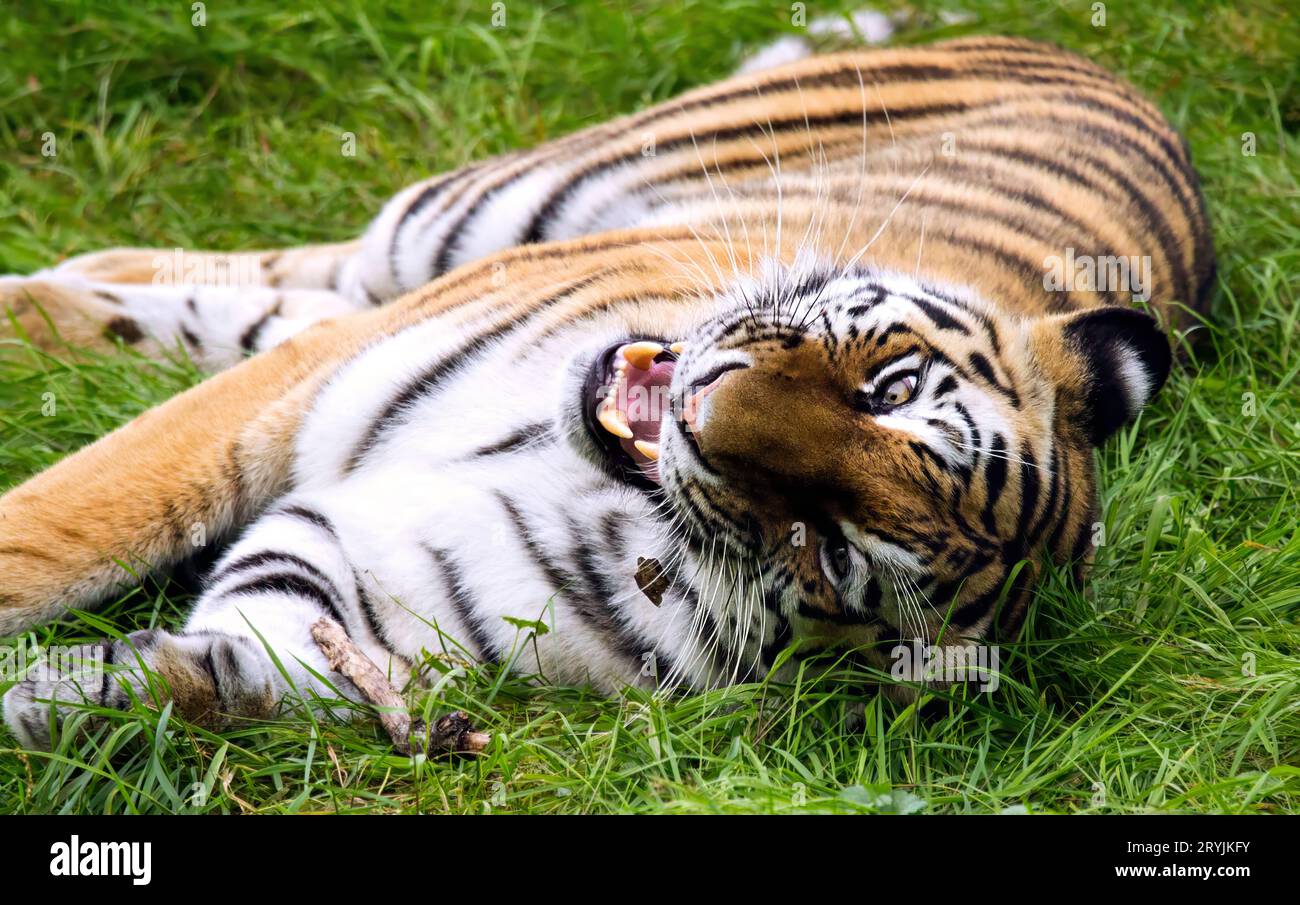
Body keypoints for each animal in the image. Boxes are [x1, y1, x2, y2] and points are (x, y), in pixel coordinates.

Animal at [0, 24, 1214, 752]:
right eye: (892, 385)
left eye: (832, 550)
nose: (704, 416)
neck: (596, 482)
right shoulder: (299, 392)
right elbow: (60, 527)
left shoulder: (371, 579)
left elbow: (242, 660)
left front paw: (76, 696)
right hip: (473, 211)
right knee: (307, 272)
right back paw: (42, 292)